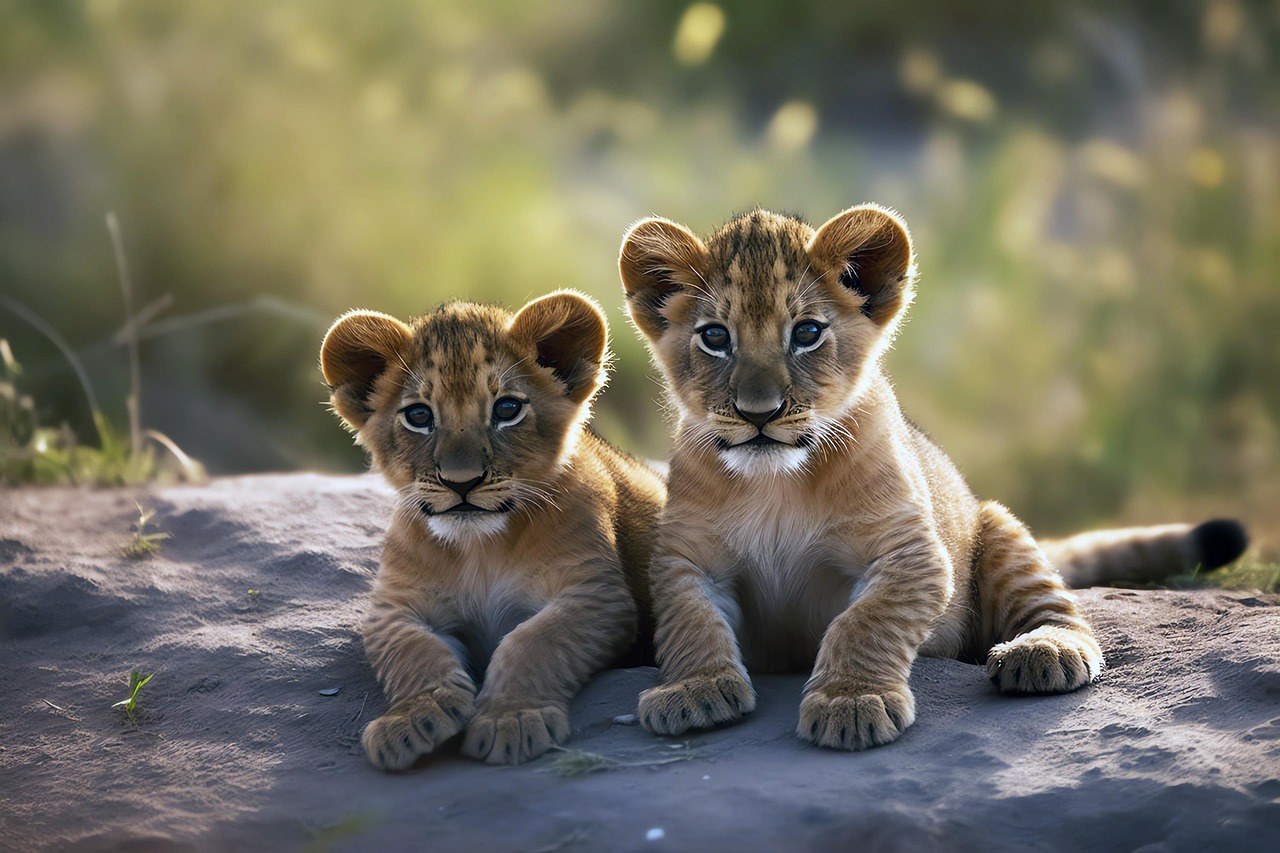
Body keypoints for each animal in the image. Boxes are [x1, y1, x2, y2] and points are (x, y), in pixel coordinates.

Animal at [320, 292, 663, 768]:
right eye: (418, 416)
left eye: (507, 409)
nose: (461, 482)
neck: (477, 547)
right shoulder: (393, 609)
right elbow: (414, 653)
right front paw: (412, 719)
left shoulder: (595, 595)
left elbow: (533, 643)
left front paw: (510, 721)